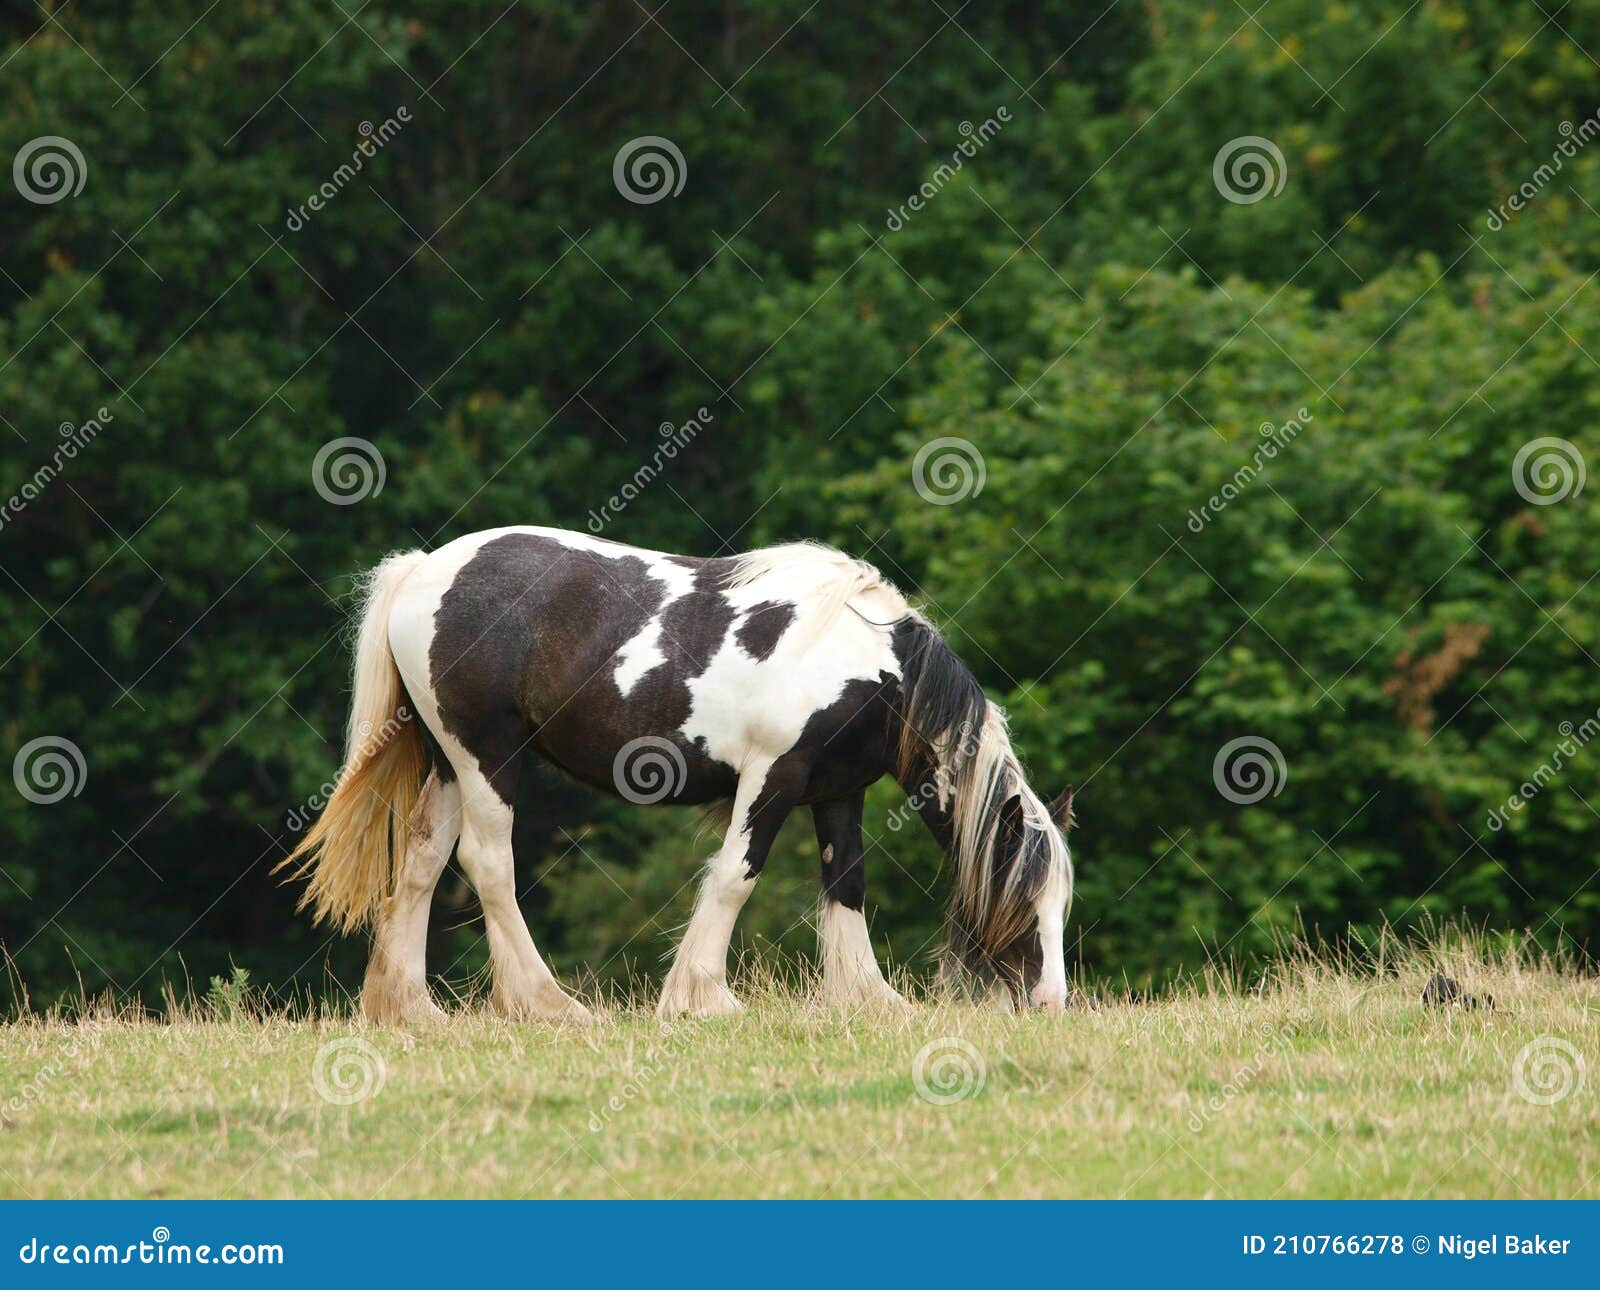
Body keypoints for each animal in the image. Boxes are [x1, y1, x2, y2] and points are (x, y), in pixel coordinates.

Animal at [282, 526, 1075, 1022]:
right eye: (1022, 894)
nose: (1051, 1002)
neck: (867, 659)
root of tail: (422, 569)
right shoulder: (774, 775)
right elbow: (736, 876)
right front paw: (704, 997)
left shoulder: (838, 792)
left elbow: (845, 887)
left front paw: (874, 1002)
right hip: (487, 757)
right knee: (487, 863)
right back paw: (550, 1004)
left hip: (450, 763)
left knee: (421, 861)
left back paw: (412, 1008)